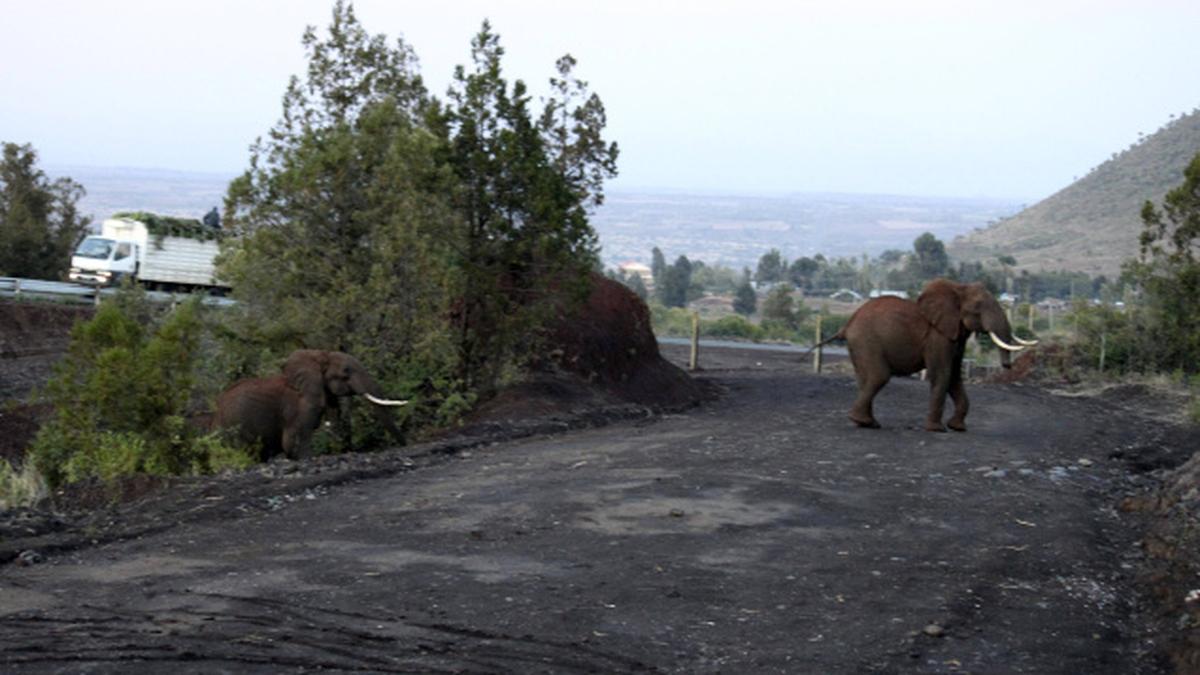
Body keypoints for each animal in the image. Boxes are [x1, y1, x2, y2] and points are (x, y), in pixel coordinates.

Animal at [213, 349, 407, 460]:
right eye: (346, 371)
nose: (405, 445)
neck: (319, 357)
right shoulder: (302, 402)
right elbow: (296, 436)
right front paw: (306, 458)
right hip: (235, 425)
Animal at [816, 279, 1036, 432]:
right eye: (978, 307)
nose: (1008, 367)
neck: (958, 288)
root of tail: (846, 325)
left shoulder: (955, 335)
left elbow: (954, 375)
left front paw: (958, 428)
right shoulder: (937, 336)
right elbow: (942, 374)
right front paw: (937, 430)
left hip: (859, 345)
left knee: (866, 378)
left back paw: (868, 423)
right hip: (866, 341)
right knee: (879, 376)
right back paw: (861, 421)